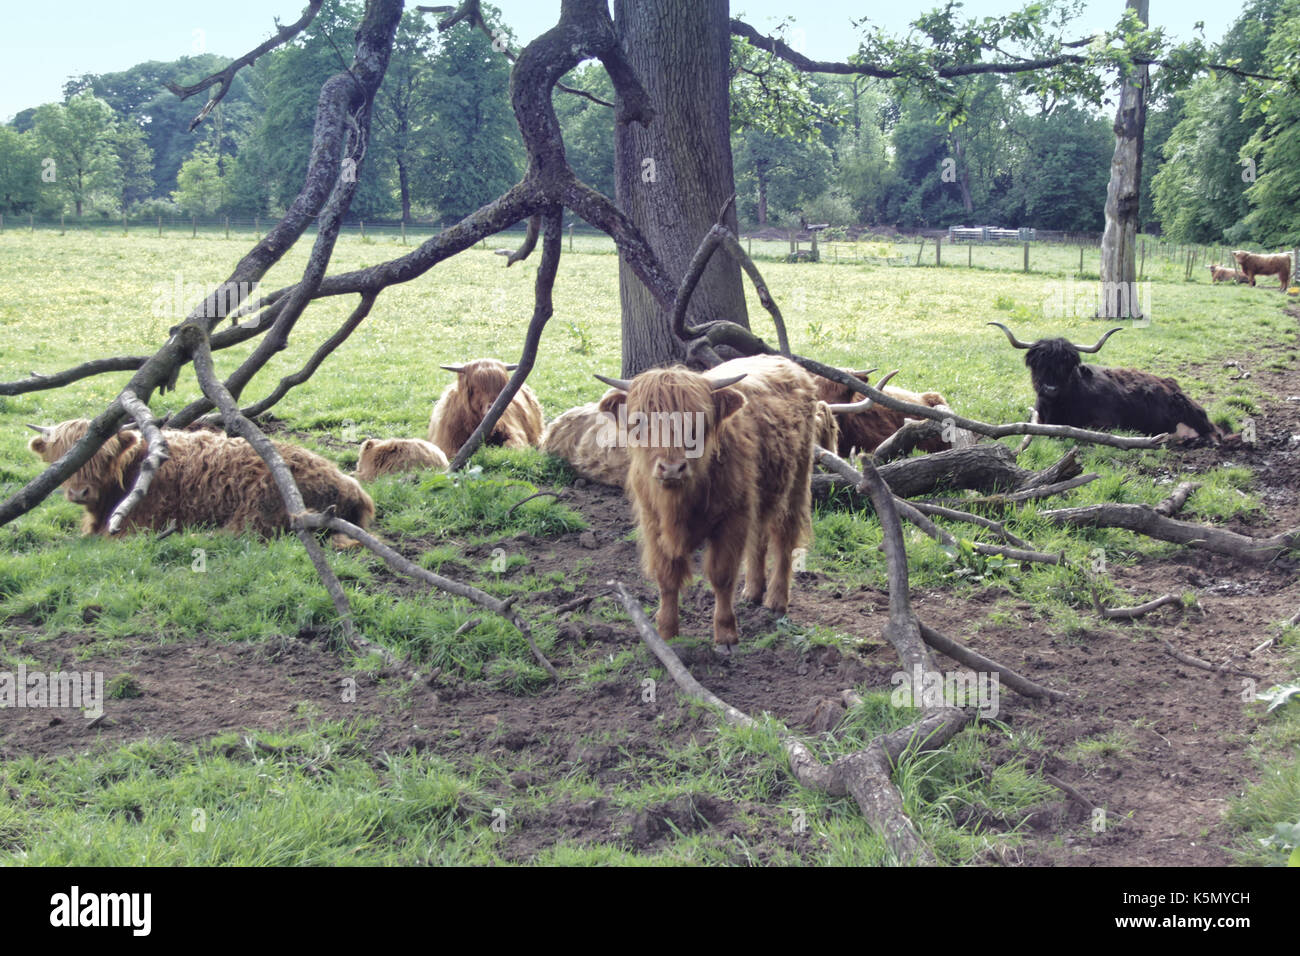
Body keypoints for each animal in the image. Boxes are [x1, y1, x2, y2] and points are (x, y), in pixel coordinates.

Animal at [26, 419, 374, 545]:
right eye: (61, 458)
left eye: (104, 456)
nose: (78, 491)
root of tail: (351, 486)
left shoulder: (135, 524)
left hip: (260, 506)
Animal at [594, 355, 819, 650]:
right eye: (640, 422)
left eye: (697, 422)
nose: (671, 468)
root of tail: (784, 361)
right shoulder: (653, 522)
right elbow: (667, 577)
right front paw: (666, 632)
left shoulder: (732, 519)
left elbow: (721, 576)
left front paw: (725, 635)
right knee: (759, 537)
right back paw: (753, 591)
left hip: (796, 482)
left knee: (784, 539)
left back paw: (776, 601)